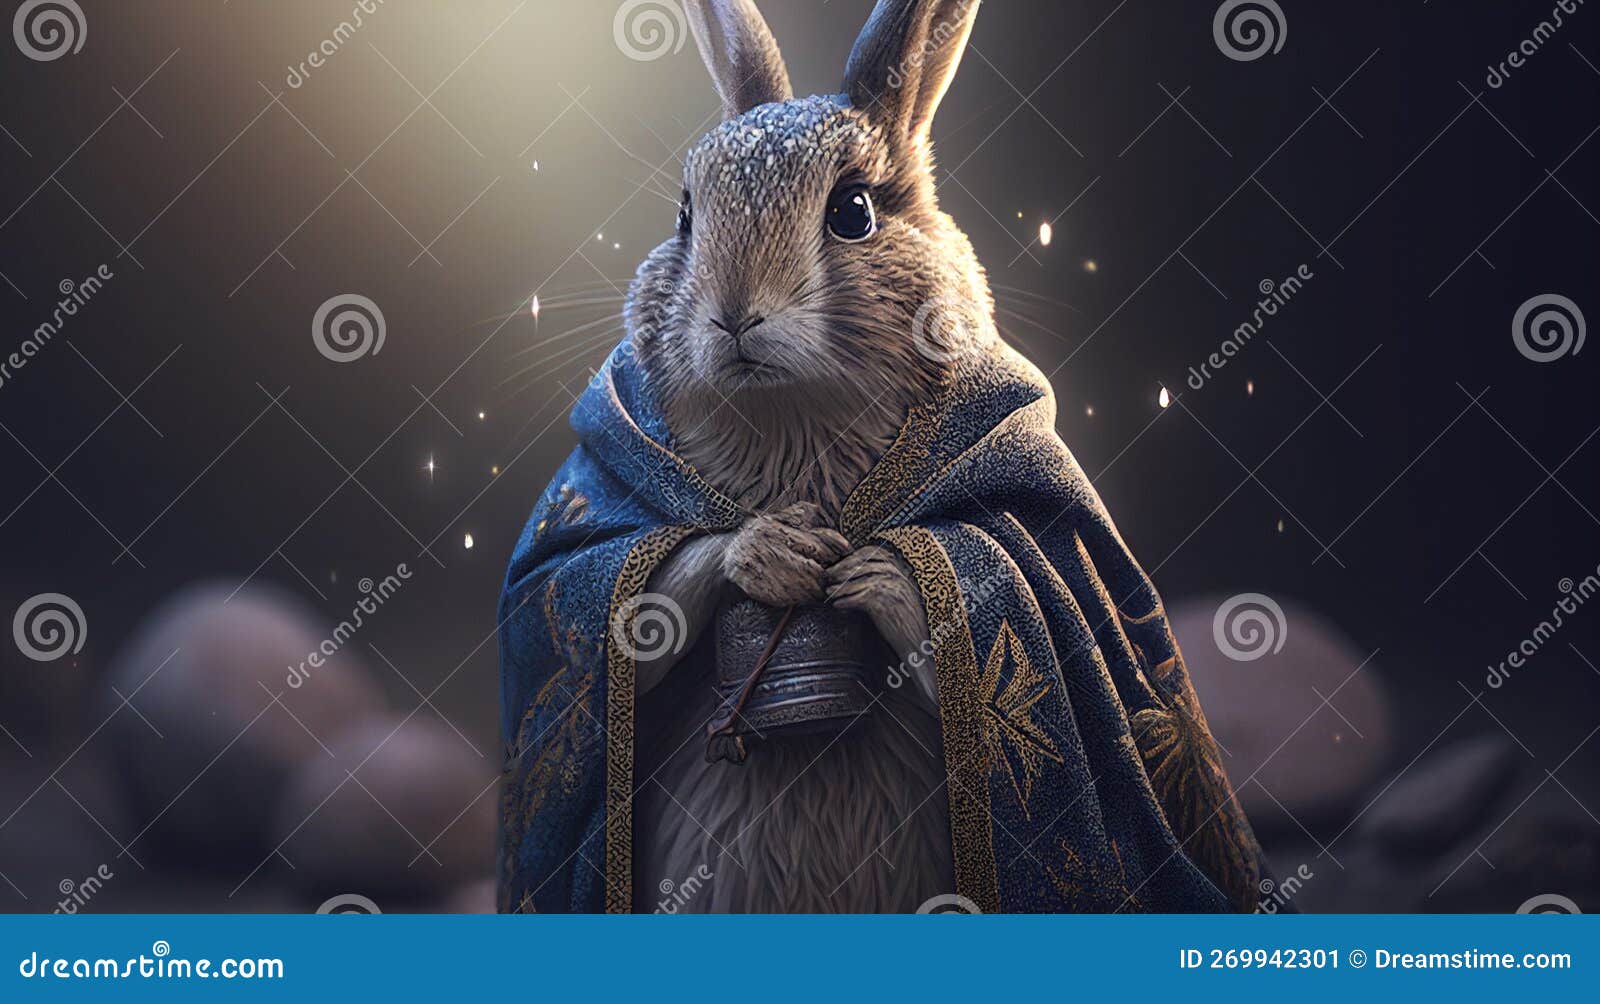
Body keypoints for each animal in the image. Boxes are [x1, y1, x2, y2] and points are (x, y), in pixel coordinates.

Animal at [619, 0, 995, 913]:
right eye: (686, 218)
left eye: (853, 211)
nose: (733, 315)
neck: (791, 420)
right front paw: (775, 554)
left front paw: (875, 577)